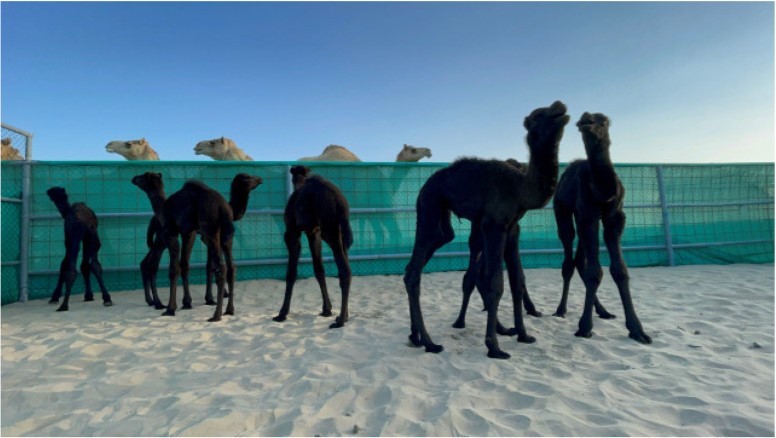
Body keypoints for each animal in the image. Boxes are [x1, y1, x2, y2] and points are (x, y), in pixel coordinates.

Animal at [132, 172, 262, 321]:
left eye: (143, 176)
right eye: (247, 177)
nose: (134, 178)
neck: (162, 208)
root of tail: (224, 208)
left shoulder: (174, 233)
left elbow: (176, 268)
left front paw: (172, 308)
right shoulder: (189, 233)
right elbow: (189, 265)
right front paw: (192, 302)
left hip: (203, 232)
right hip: (223, 236)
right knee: (231, 267)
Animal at [273, 165, 353, 329]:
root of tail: (341, 202)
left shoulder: (292, 232)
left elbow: (291, 273)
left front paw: (282, 314)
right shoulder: (313, 232)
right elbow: (319, 269)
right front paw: (326, 309)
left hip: (330, 230)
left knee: (345, 271)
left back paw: (340, 320)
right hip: (339, 232)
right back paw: (343, 317)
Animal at [403, 100, 569, 359]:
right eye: (537, 116)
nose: (559, 105)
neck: (519, 188)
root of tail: (424, 187)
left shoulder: (511, 229)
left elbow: (518, 281)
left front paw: (524, 335)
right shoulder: (494, 225)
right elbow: (494, 282)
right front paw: (494, 347)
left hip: (441, 225)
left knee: (415, 265)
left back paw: (415, 337)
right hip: (430, 206)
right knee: (414, 274)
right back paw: (431, 343)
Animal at [552, 112, 651, 344]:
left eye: (603, 121)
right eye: (579, 122)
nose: (587, 124)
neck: (603, 191)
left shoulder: (614, 216)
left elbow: (619, 270)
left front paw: (637, 330)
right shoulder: (588, 215)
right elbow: (595, 271)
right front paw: (584, 327)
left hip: (581, 217)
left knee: (580, 261)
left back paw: (604, 311)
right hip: (562, 209)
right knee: (568, 257)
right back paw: (561, 309)